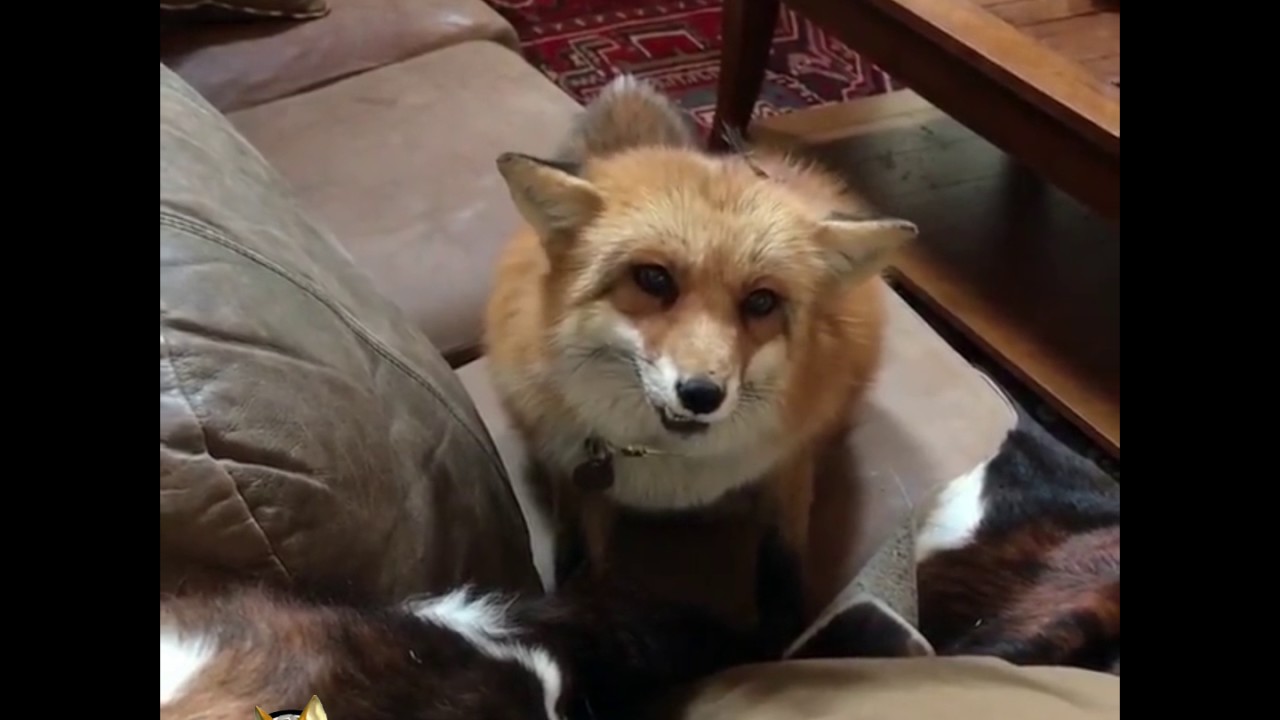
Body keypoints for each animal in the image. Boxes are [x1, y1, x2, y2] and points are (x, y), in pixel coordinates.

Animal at [484, 75, 918, 592]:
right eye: (653, 279)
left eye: (762, 301)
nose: (701, 394)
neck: (668, 475)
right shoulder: (573, 481)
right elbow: (580, 572)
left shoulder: (789, 468)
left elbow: (785, 568)